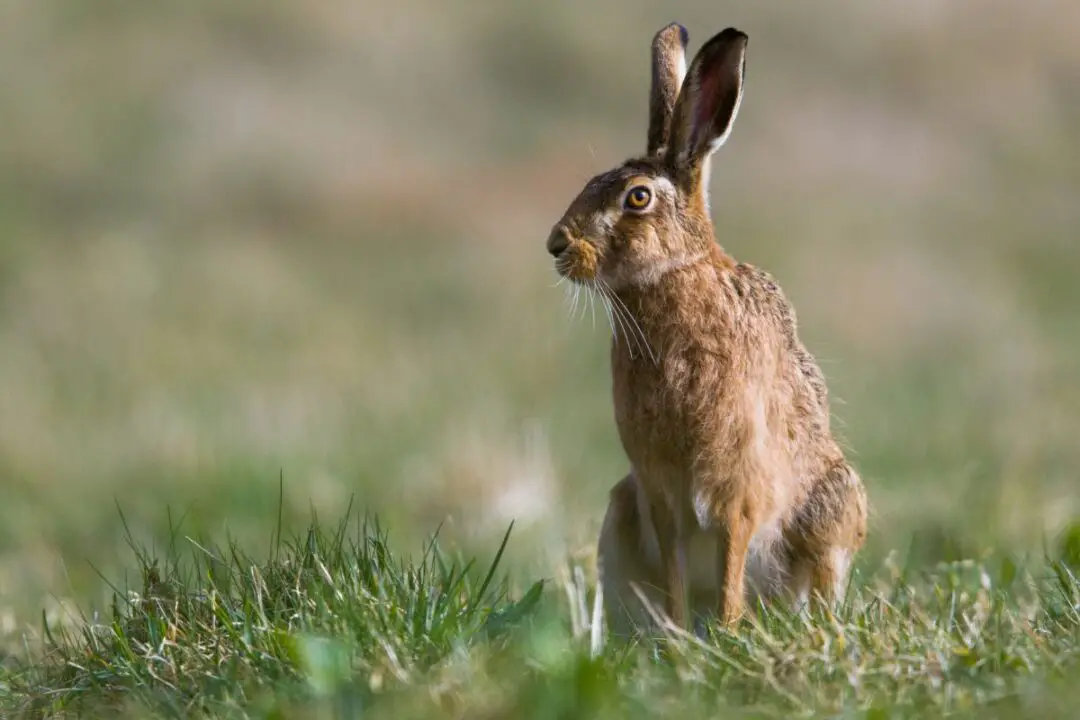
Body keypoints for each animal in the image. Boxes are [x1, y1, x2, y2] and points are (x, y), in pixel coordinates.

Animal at [546, 23, 868, 635]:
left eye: (637, 197)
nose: (556, 246)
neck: (675, 276)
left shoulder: (736, 489)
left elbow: (731, 560)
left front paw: (725, 631)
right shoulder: (660, 491)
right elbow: (675, 566)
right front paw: (680, 638)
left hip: (832, 508)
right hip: (621, 513)